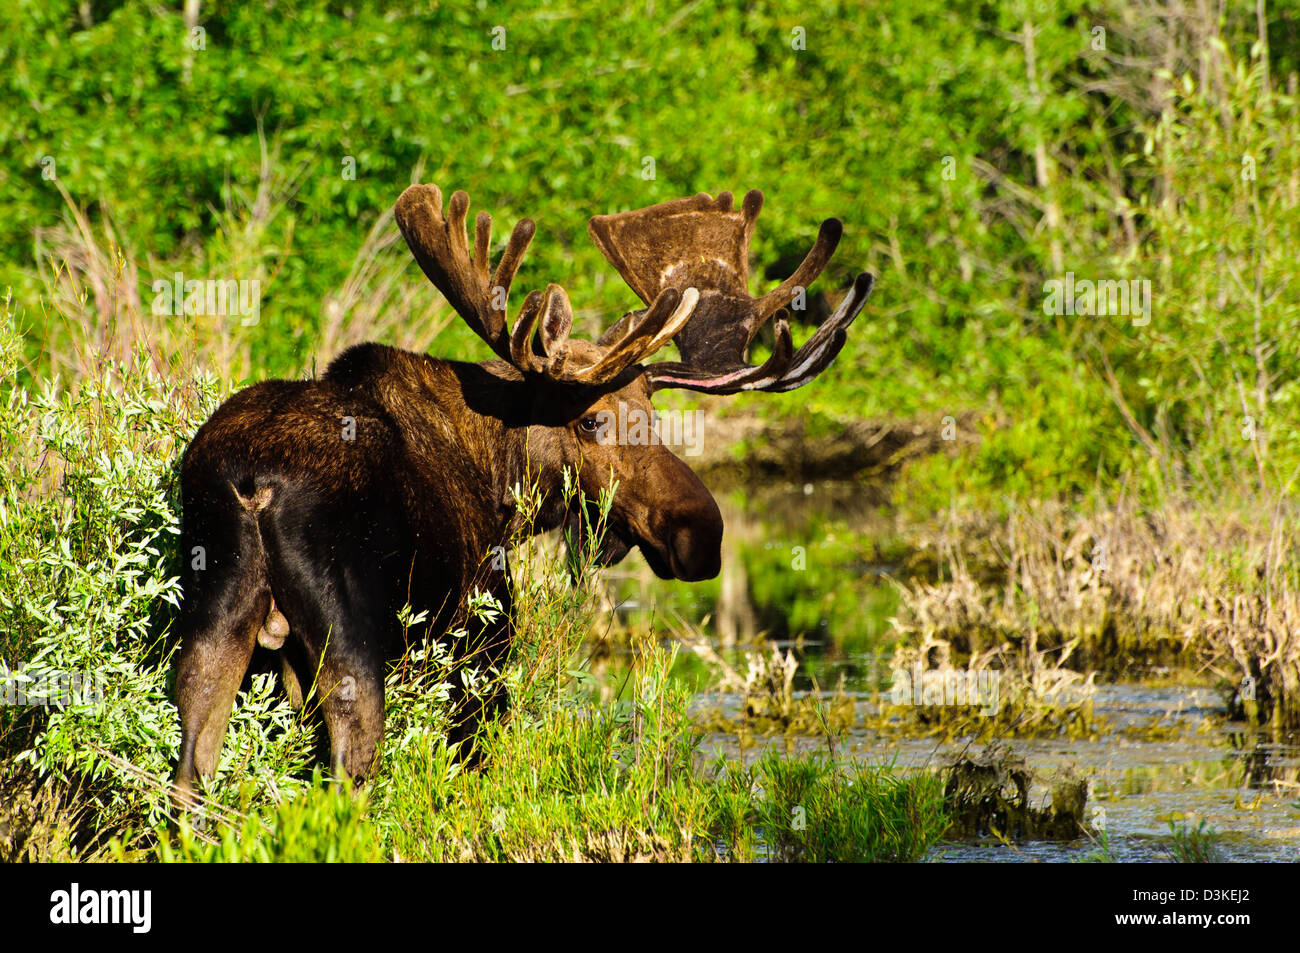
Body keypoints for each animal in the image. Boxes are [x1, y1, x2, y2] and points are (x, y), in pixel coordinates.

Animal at [171, 183, 874, 808]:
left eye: (655, 416)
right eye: (589, 422)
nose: (701, 532)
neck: (501, 472)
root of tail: (254, 485)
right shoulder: (480, 640)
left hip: (213, 623)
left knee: (190, 774)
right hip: (352, 644)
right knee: (345, 778)